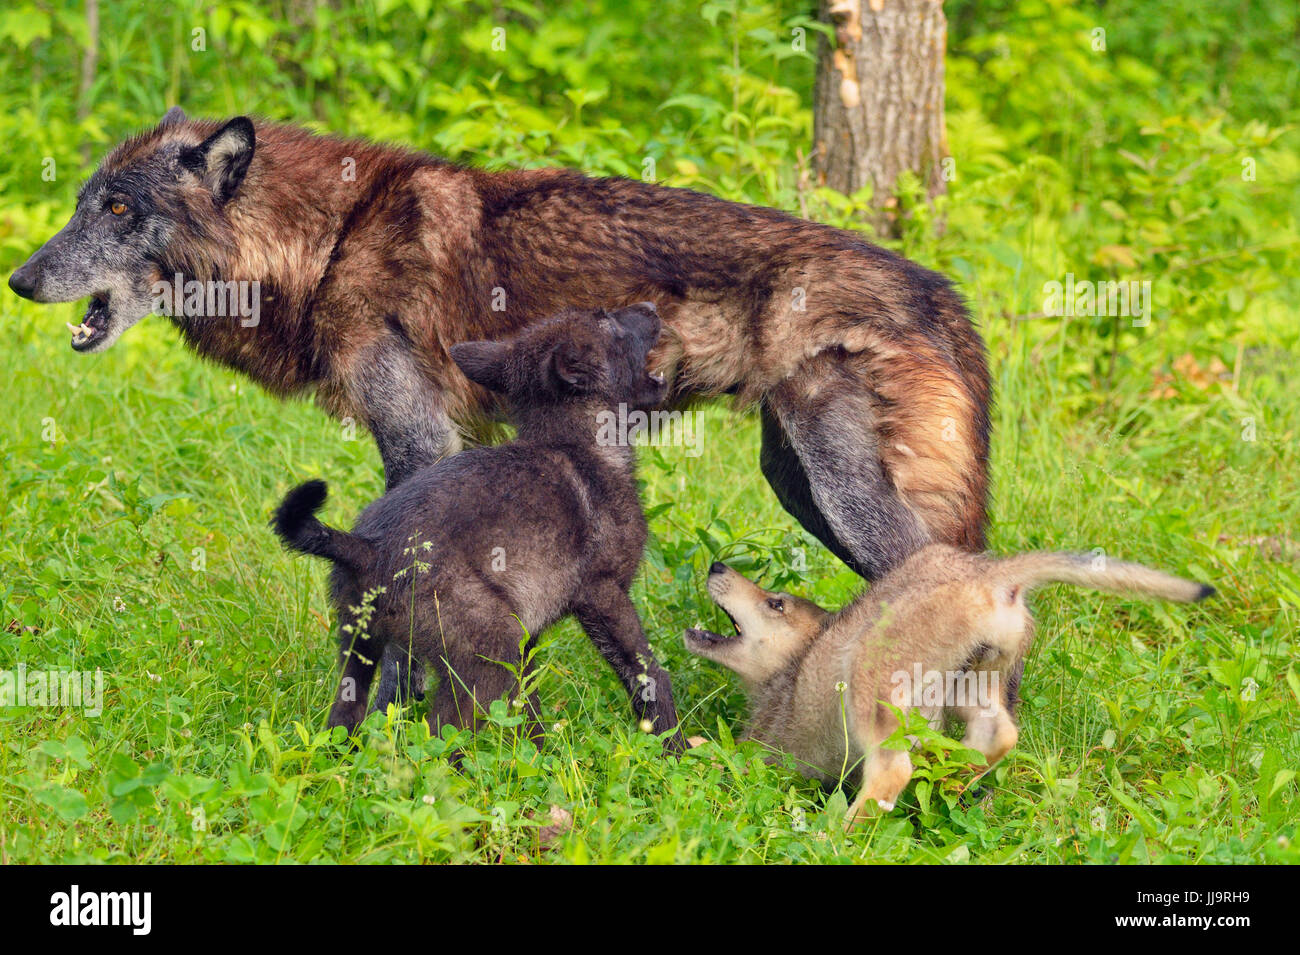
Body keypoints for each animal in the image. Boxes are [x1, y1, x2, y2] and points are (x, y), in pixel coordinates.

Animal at [9, 109, 991, 704]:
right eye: (81, 203)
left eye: (120, 208)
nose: (18, 280)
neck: (328, 242)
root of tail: (938, 287)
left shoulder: (420, 443)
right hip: (803, 487)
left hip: (843, 496)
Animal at [271, 302, 685, 751]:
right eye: (607, 322)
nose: (651, 307)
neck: (578, 443)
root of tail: (367, 547)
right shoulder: (602, 593)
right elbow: (648, 673)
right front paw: (673, 745)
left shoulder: (529, 632)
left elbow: (526, 707)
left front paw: (536, 759)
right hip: (485, 647)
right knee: (438, 736)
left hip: (359, 651)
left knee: (344, 722)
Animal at [684, 546, 1213, 826]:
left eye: (775, 603)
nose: (717, 566)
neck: (791, 672)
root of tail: (991, 577)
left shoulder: (759, 749)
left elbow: (716, 755)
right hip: (972, 683)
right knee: (999, 734)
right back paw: (953, 785)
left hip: (870, 680)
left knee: (891, 773)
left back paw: (833, 834)